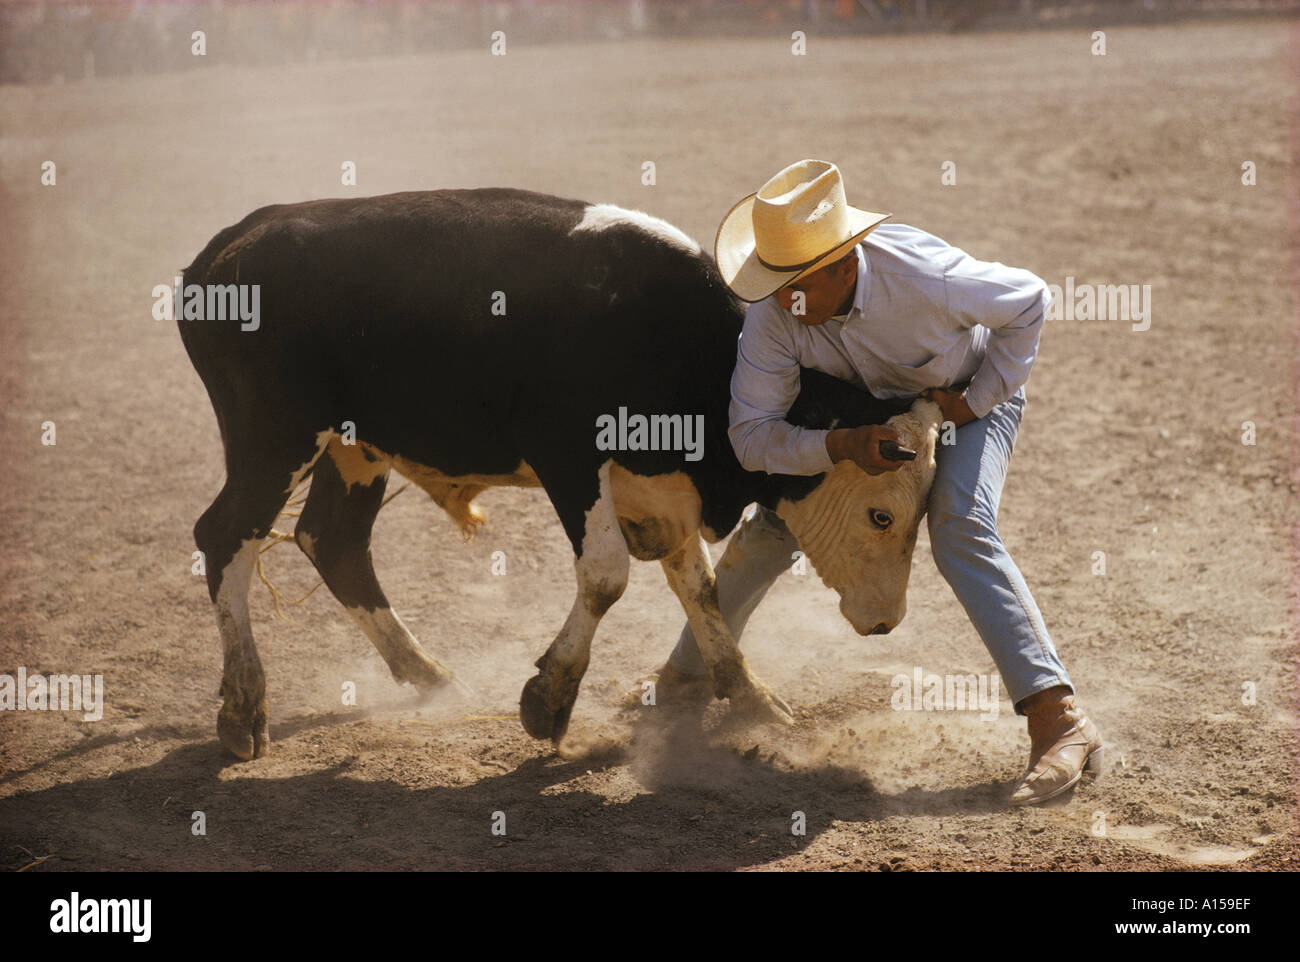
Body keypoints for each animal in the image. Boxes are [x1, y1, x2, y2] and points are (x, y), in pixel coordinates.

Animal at [178, 189, 942, 760]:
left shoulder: (661, 487)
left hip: (352, 448)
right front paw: (550, 698)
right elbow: (606, 576)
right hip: (273, 439)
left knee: (332, 540)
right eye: (882, 514)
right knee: (226, 535)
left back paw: (427, 674)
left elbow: (697, 586)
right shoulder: (571, 459)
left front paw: (748, 694)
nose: (886, 622)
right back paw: (244, 707)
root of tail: (233, 243)